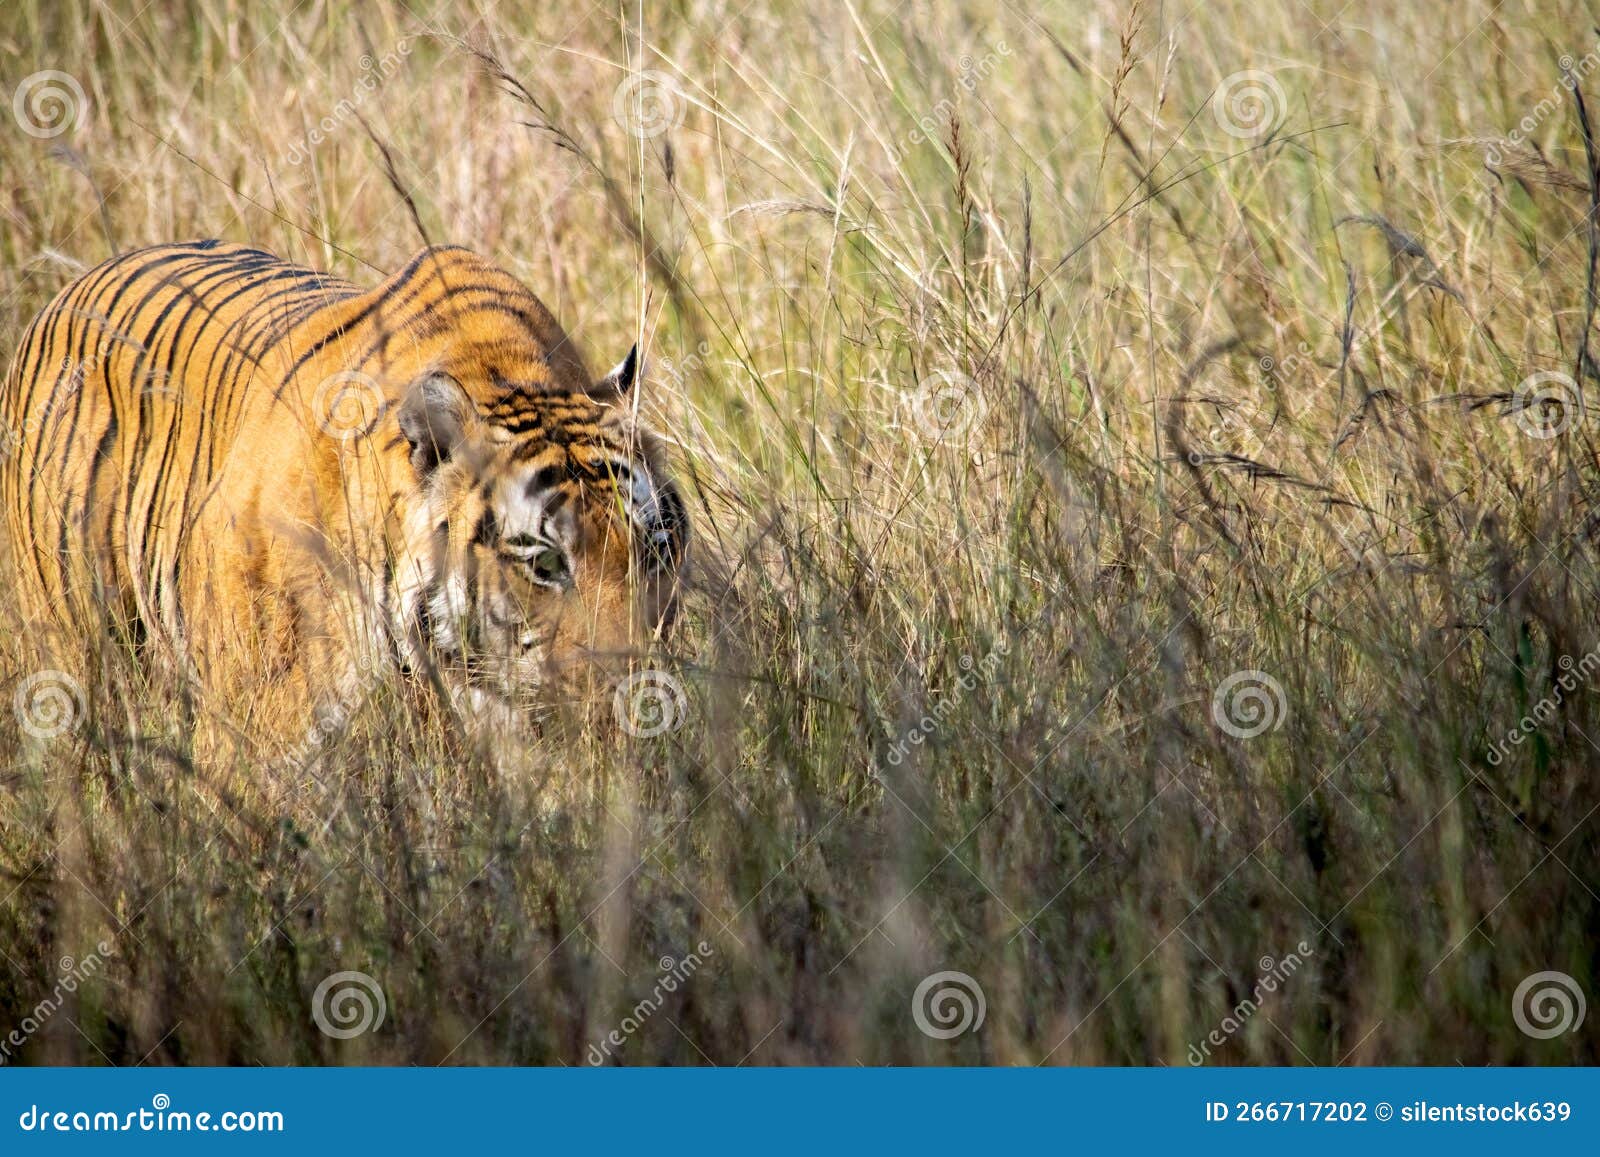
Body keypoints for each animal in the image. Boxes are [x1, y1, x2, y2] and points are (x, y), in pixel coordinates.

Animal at [0, 240, 689, 737]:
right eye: (546, 566)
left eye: (655, 550)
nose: (640, 690)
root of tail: (59, 297)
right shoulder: (259, 725)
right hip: (72, 652)